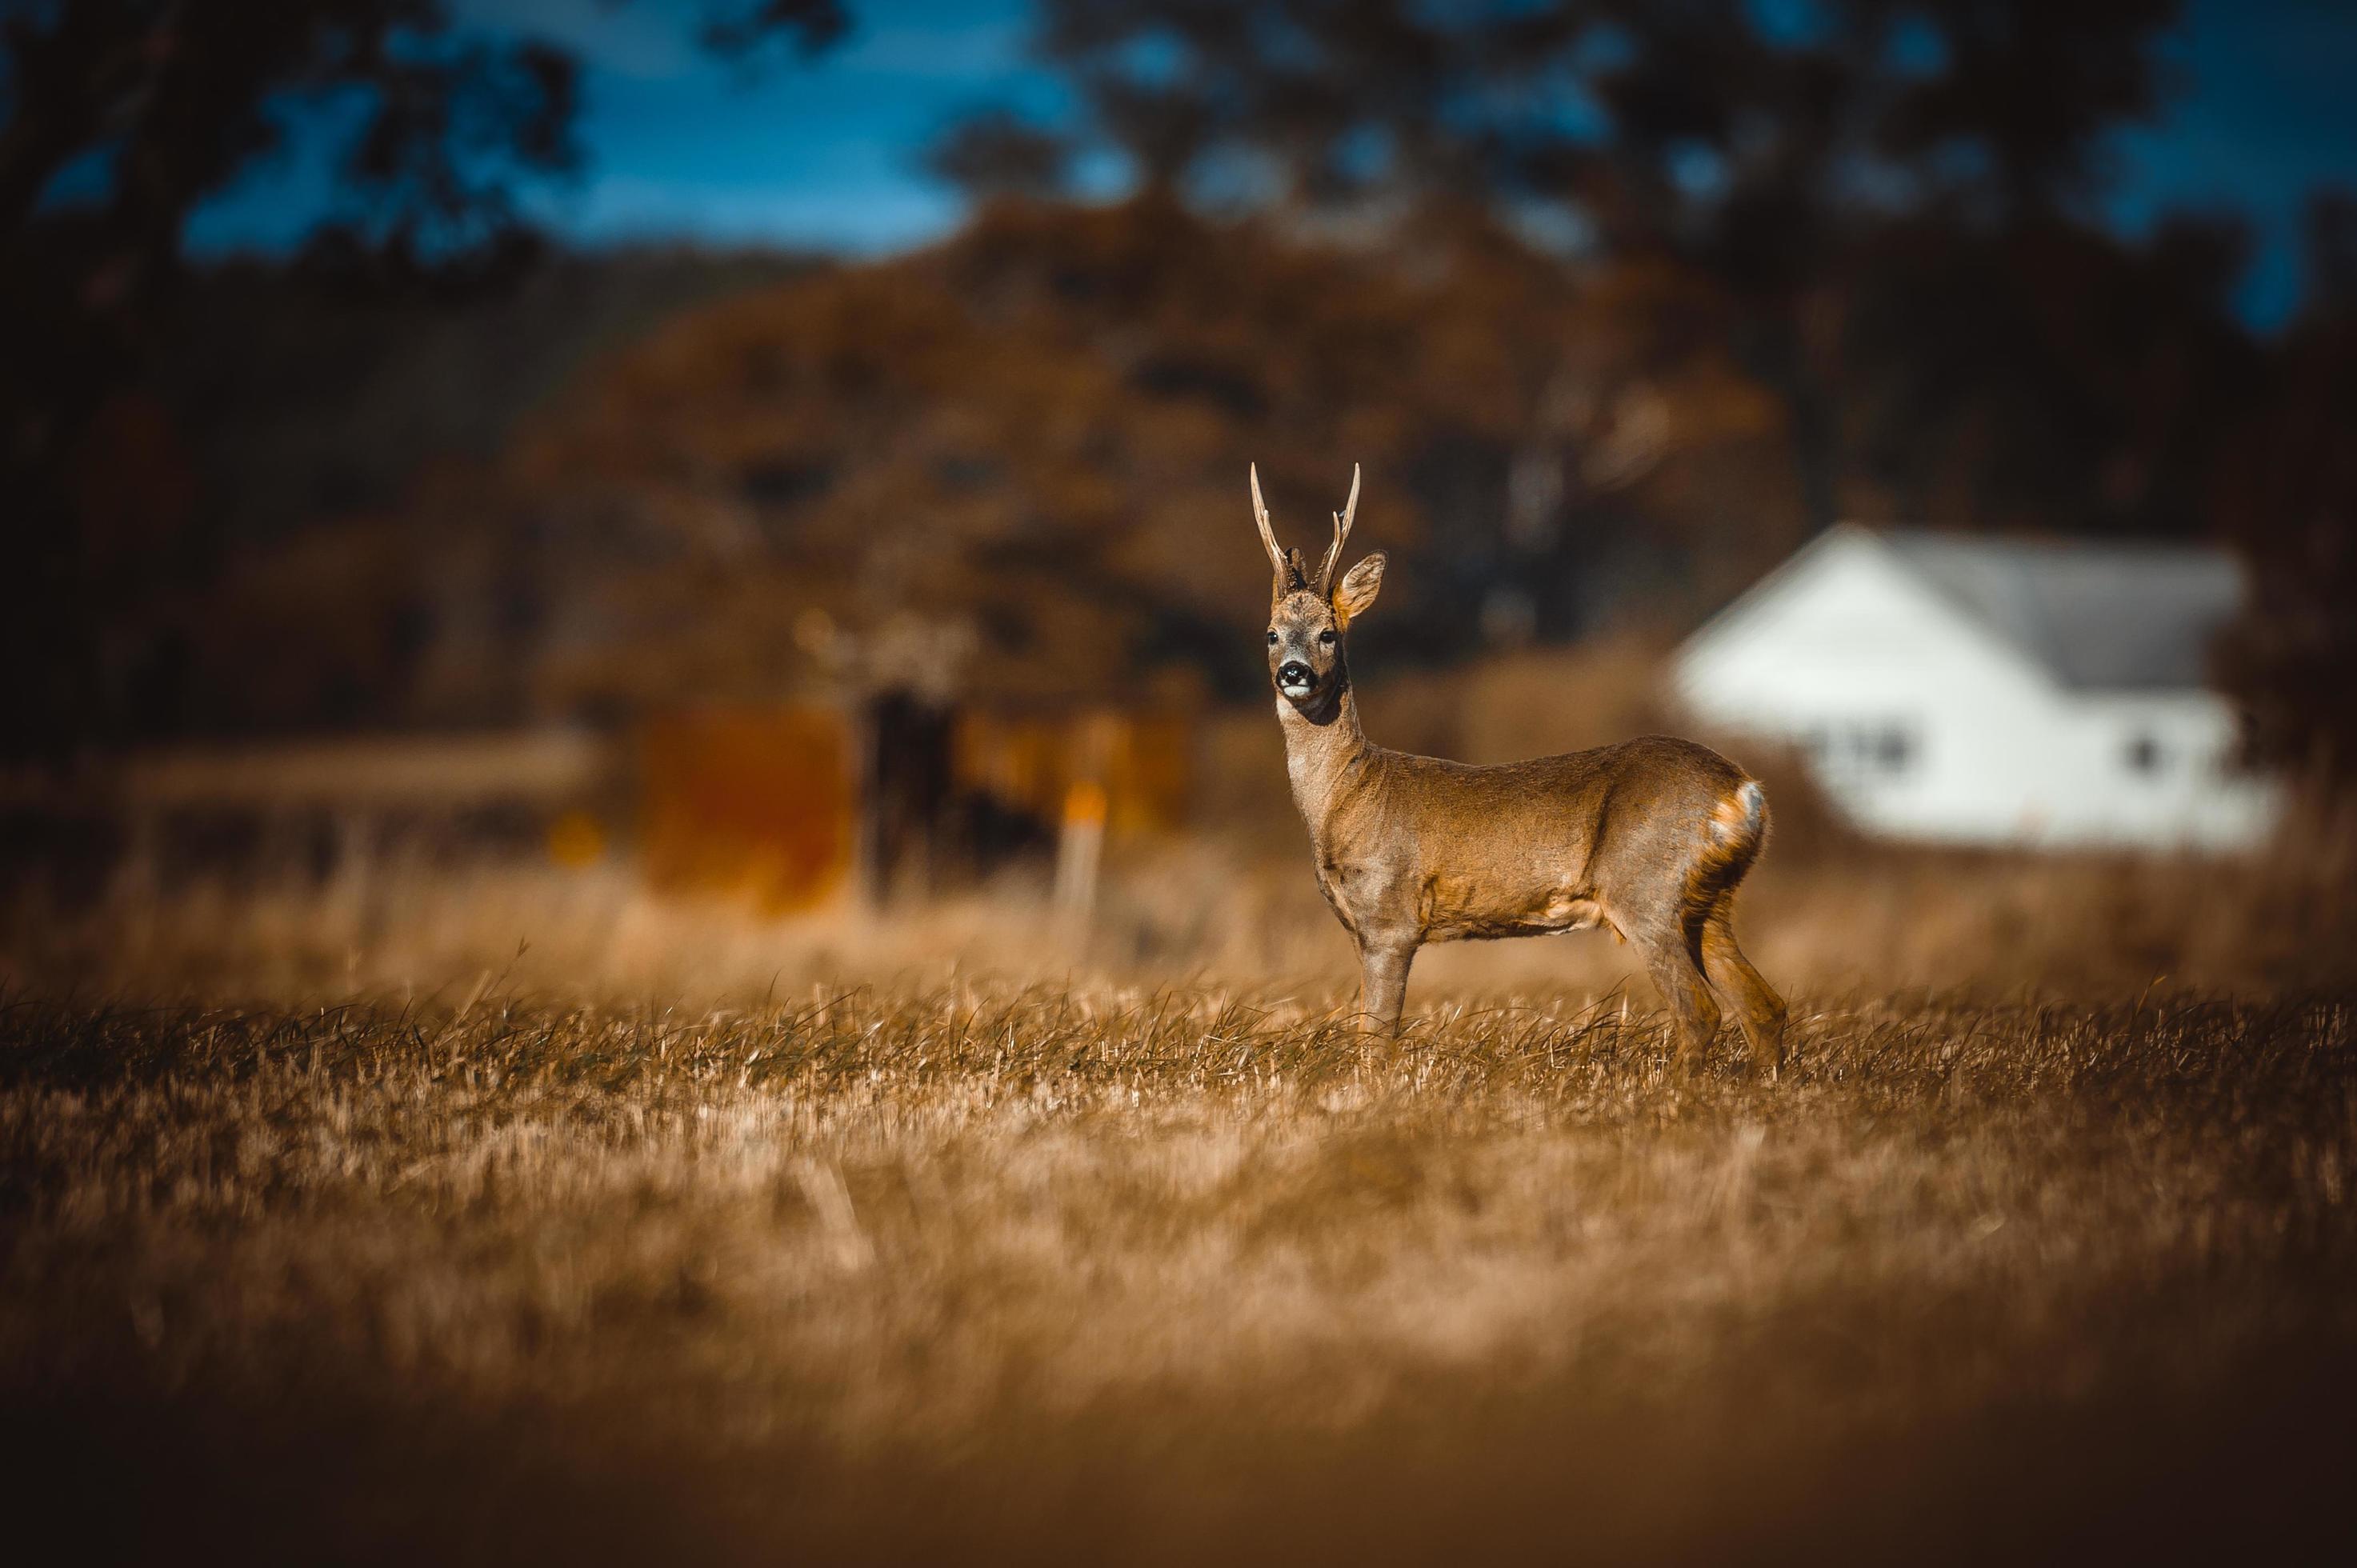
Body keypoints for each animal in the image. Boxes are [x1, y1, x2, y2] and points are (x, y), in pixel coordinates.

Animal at [1251, 463, 1787, 1076]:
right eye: (1271, 633)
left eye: (1329, 633)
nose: (1293, 672)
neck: (1349, 794)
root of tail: (1743, 792)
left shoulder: (1391, 919)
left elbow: (1376, 1039)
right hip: (1710, 901)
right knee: (1764, 1006)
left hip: (1647, 888)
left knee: (1700, 1012)